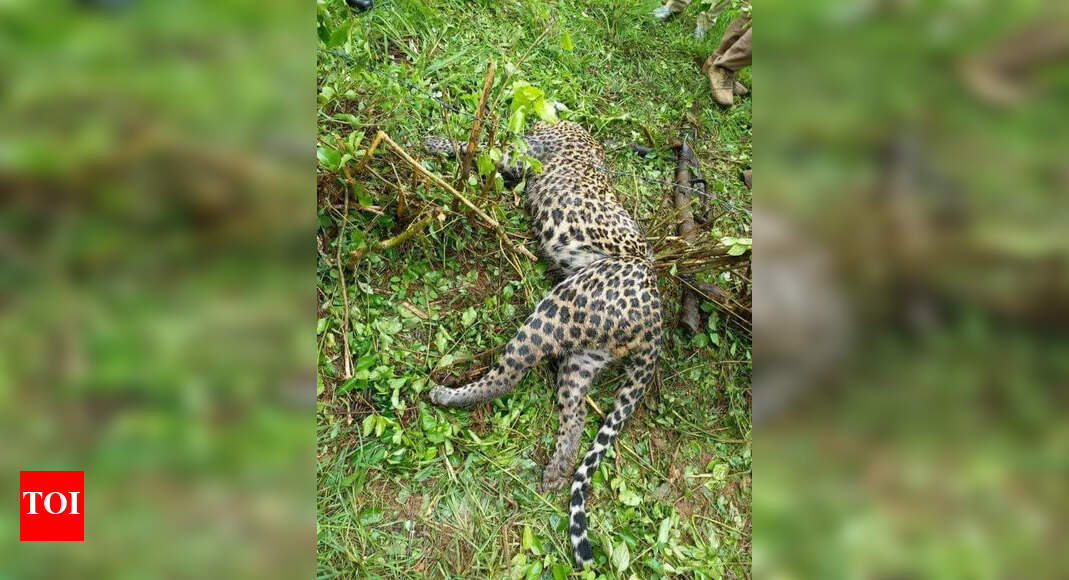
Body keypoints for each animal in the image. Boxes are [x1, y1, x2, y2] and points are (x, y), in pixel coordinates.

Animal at [423, 120, 663, 569]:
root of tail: (656, 317)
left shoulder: (522, 155)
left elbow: (478, 148)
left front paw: (434, 142)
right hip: (585, 353)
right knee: (576, 416)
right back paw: (555, 471)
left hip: (559, 308)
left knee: (511, 373)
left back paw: (447, 395)